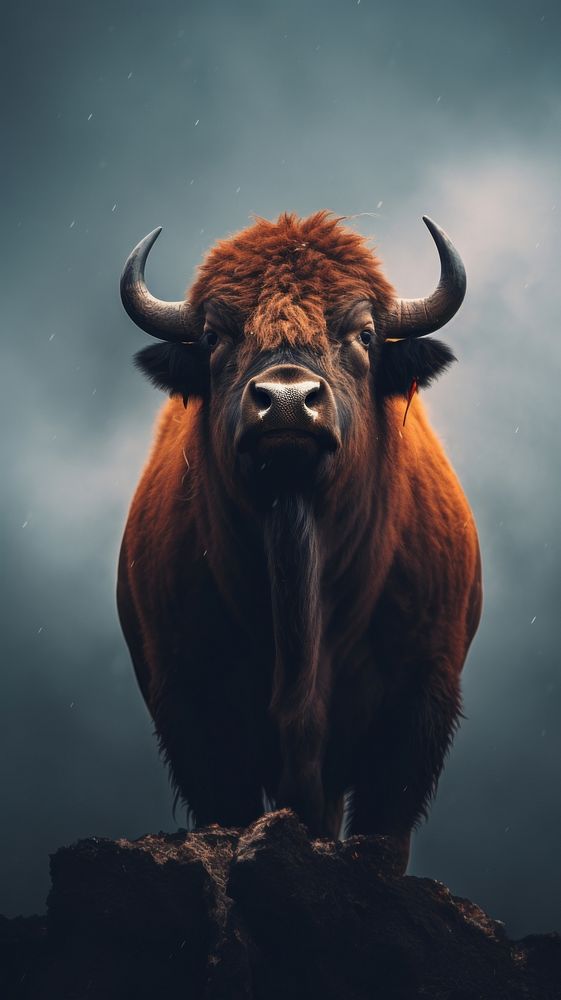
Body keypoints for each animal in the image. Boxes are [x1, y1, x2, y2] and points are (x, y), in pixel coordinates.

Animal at [118, 211, 482, 871]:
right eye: (213, 335)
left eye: (364, 333)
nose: (287, 399)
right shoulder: (190, 706)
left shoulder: (419, 706)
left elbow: (384, 827)